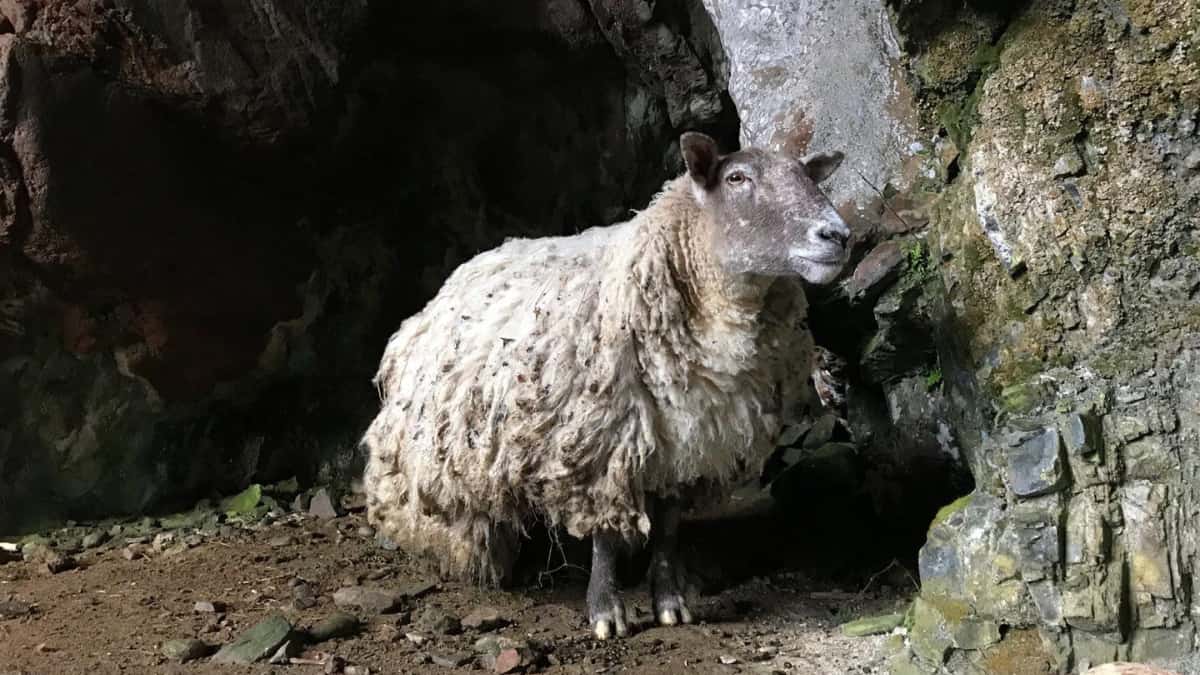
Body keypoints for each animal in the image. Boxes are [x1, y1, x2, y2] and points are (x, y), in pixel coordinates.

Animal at [361, 131, 851, 639]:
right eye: (737, 178)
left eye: (806, 175)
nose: (838, 235)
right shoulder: (601, 442)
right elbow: (606, 539)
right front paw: (605, 612)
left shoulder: (688, 444)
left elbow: (669, 531)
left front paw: (670, 604)